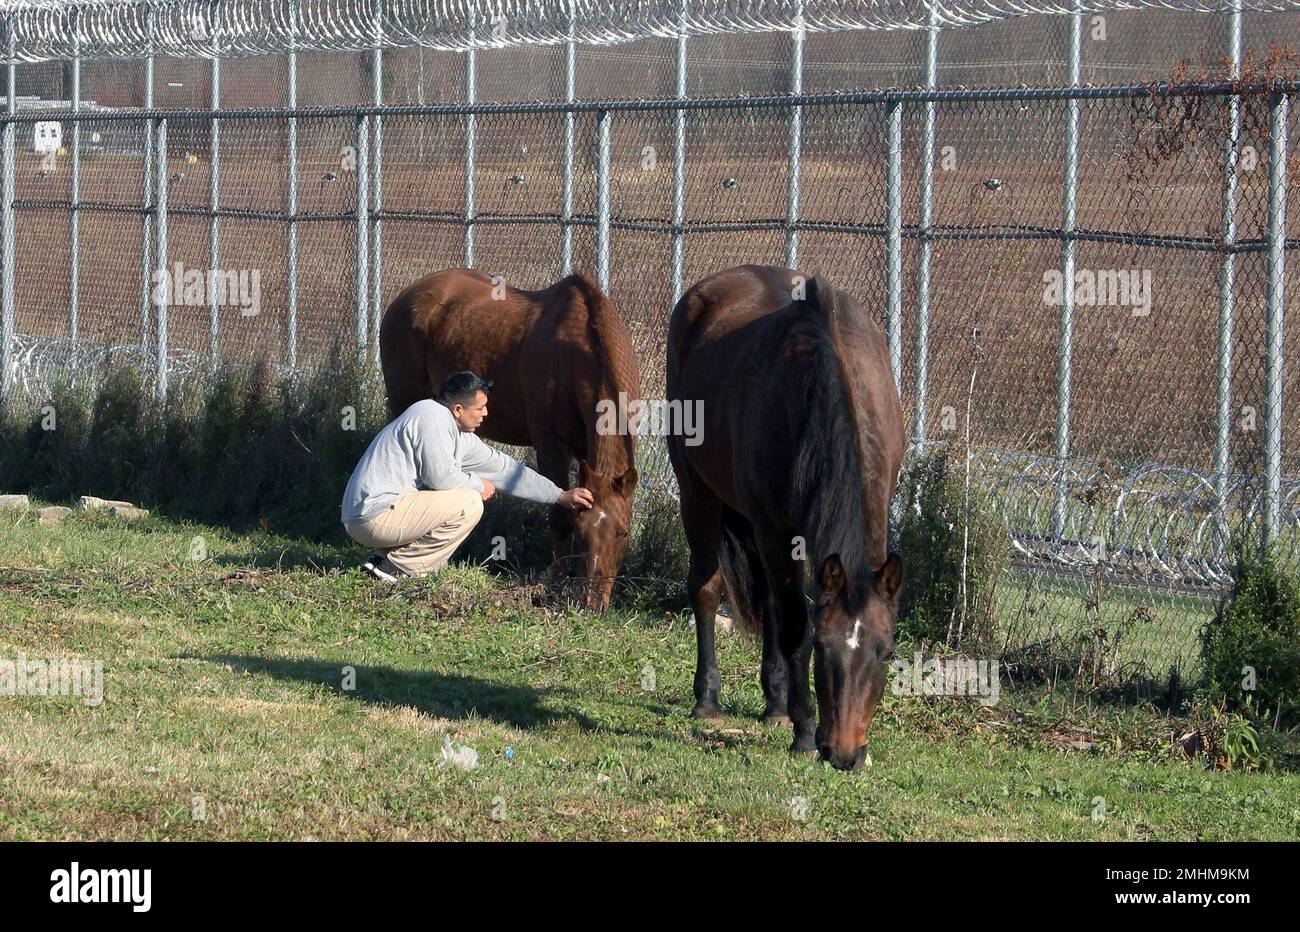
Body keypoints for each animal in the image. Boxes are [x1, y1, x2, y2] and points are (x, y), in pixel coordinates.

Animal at [379, 268, 641, 612]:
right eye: (582, 533)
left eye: (623, 533)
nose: (592, 603)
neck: (575, 352)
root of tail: (405, 298)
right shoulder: (551, 445)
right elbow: (559, 515)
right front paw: (554, 582)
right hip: (405, 403)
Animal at [666, 265, 904, 771]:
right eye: (823, 647)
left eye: (887, 651)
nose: (845, 754)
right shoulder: (775, 532)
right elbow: (796, 625)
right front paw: (805, 730)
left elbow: (783, 613)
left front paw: (788, 712)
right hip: (698, 492)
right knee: (708, 588)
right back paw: (708, 699)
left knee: (769, 601)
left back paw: (774, 704)